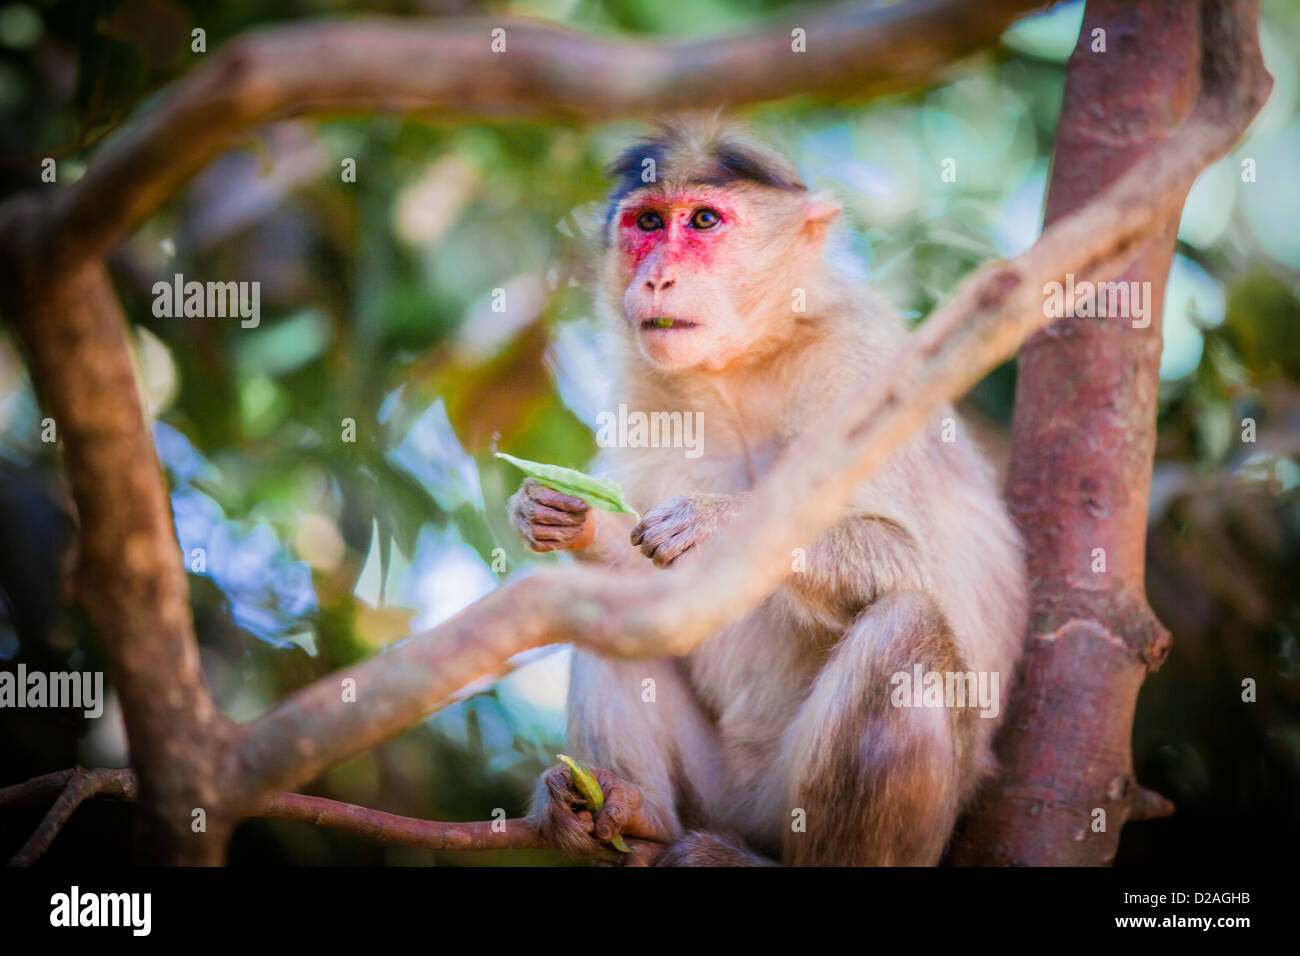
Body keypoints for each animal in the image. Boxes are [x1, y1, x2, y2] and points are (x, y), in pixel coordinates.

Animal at [508, 115, 1028, 866]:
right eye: (646, 222)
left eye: (703, 220)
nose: (657, 277)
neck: (741, 370)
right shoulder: (643, 389)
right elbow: (653, 608)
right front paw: (560, 515)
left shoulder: (867, 361)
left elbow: (913, 558)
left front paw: (715, 523)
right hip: (716, 793)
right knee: (599, 622)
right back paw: (637, 816)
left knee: (904, 634)